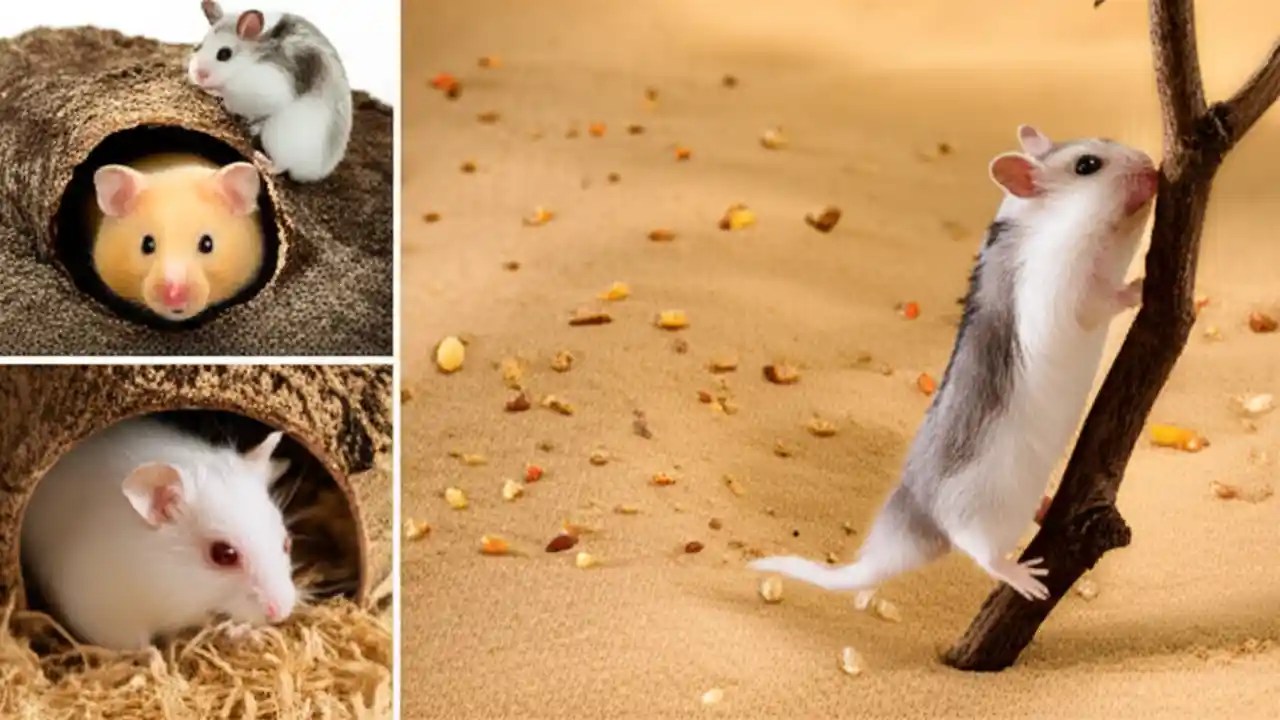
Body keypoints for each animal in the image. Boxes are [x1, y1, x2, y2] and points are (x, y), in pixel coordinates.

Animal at [188, 1, 353, 183]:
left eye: (224, 54)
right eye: (200, 46)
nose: (198, 75)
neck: (245, 66)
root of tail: (316, 173)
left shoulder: (266, 93)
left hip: (276, 136)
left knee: (280, 166)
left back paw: (260, 158)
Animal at [750, 125, 1159, 601]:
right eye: (1087, 166)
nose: (1152, 166)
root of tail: (915, 533)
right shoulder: (1067, 294)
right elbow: (1105, 299)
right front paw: (1142, 286)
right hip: (983, 516)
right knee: (978, 552)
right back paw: (1021, 576)